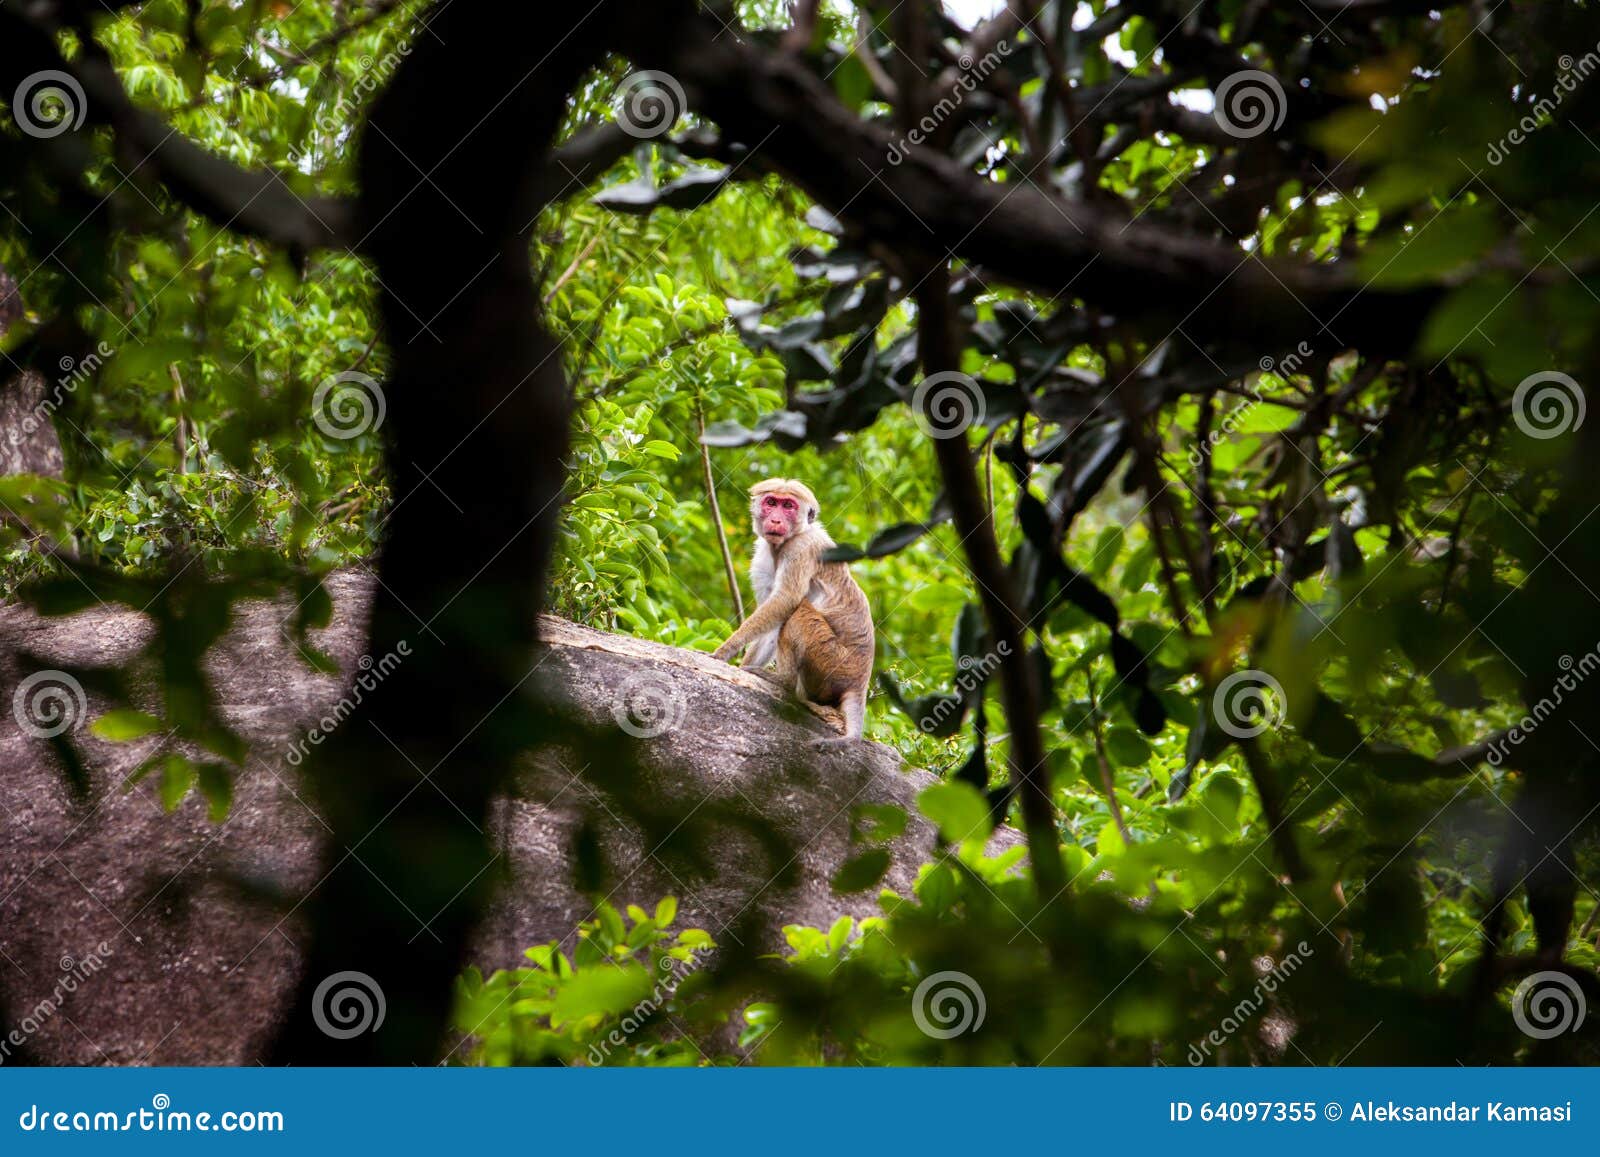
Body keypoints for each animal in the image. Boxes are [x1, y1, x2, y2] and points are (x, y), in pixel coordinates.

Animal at [712, 478, 874, 740]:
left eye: (788, 505)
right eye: (771, 502)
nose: (776, 520)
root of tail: (859, 684)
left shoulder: (801, 548)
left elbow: (785, 601)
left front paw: (724, 651)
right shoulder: (763, 553)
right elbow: (773, 620)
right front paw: (741, 666)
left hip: (834, 662)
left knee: (800, 612)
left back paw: (783, 682)